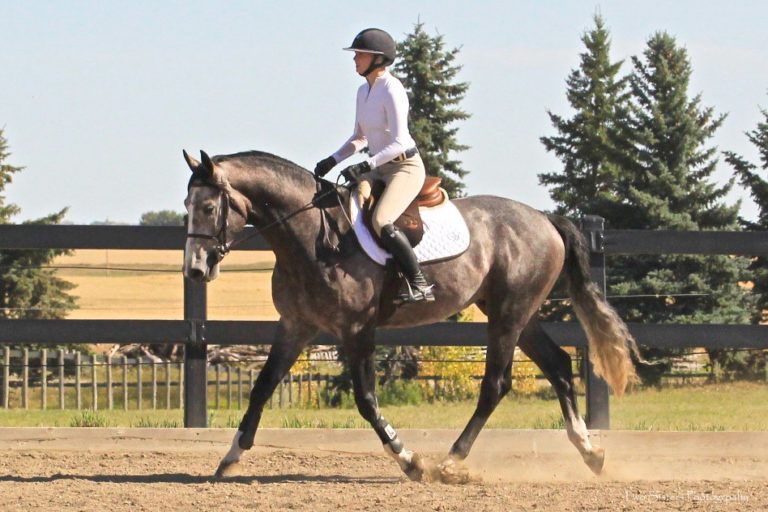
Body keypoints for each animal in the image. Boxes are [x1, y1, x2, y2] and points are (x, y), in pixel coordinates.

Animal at [182, 149, 640, 481]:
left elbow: (367, 400)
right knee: (559, 366)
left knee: (496, 384)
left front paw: (410, 461)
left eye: (208, 207)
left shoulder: (357, 329)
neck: (312, 237)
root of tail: (544, 218)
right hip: (518, 314)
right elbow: (261, 388)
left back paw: (451, 461)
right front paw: (230, 457)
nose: (195, 270)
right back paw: (591, 452)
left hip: (508, 316)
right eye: (187, 204)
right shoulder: (296, 326)